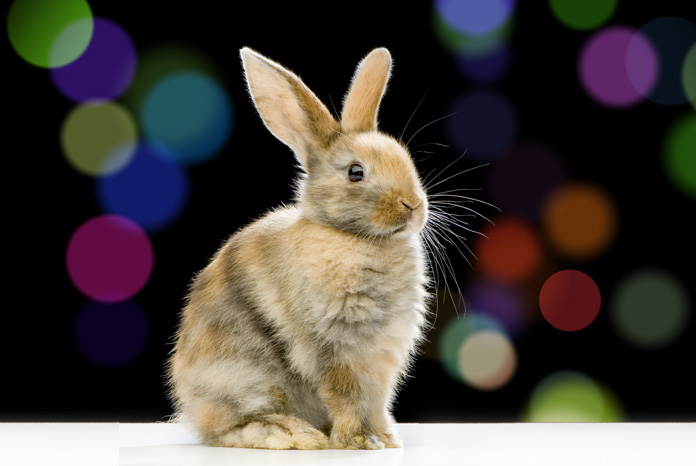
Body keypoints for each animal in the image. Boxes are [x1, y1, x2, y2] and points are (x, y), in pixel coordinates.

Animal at [167, 47, 430, 450]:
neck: (351, 237)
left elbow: (376, 401)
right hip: (245, 377)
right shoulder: (330, 348)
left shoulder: (383, 359)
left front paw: (386, 440)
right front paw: (357, 442)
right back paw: (296, 435)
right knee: (228, 427)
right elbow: (346, 395)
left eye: (405, 157)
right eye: (355, 172)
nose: (413, 205)